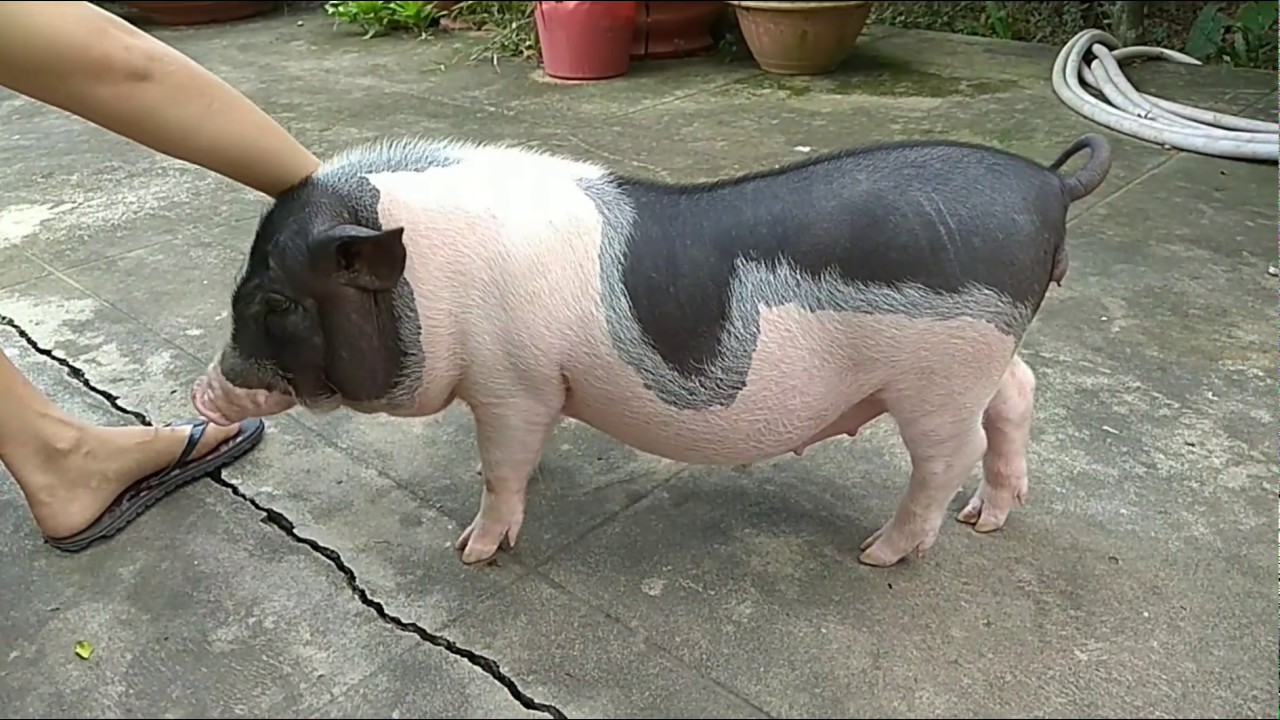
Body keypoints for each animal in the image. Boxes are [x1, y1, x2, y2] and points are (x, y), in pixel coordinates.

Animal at [194, 132, 1112, 568]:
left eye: (275, 301)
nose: (207, 391)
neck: (431, 283)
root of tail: (1048, 183)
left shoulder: (514, 383)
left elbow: (500, 466)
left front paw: (472, 551)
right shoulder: (522, 389)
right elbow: (515, 459)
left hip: (937, 382)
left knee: (940, 463)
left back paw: (880, 552)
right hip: (984, 360)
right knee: (1019, 392)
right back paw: (989, 519)